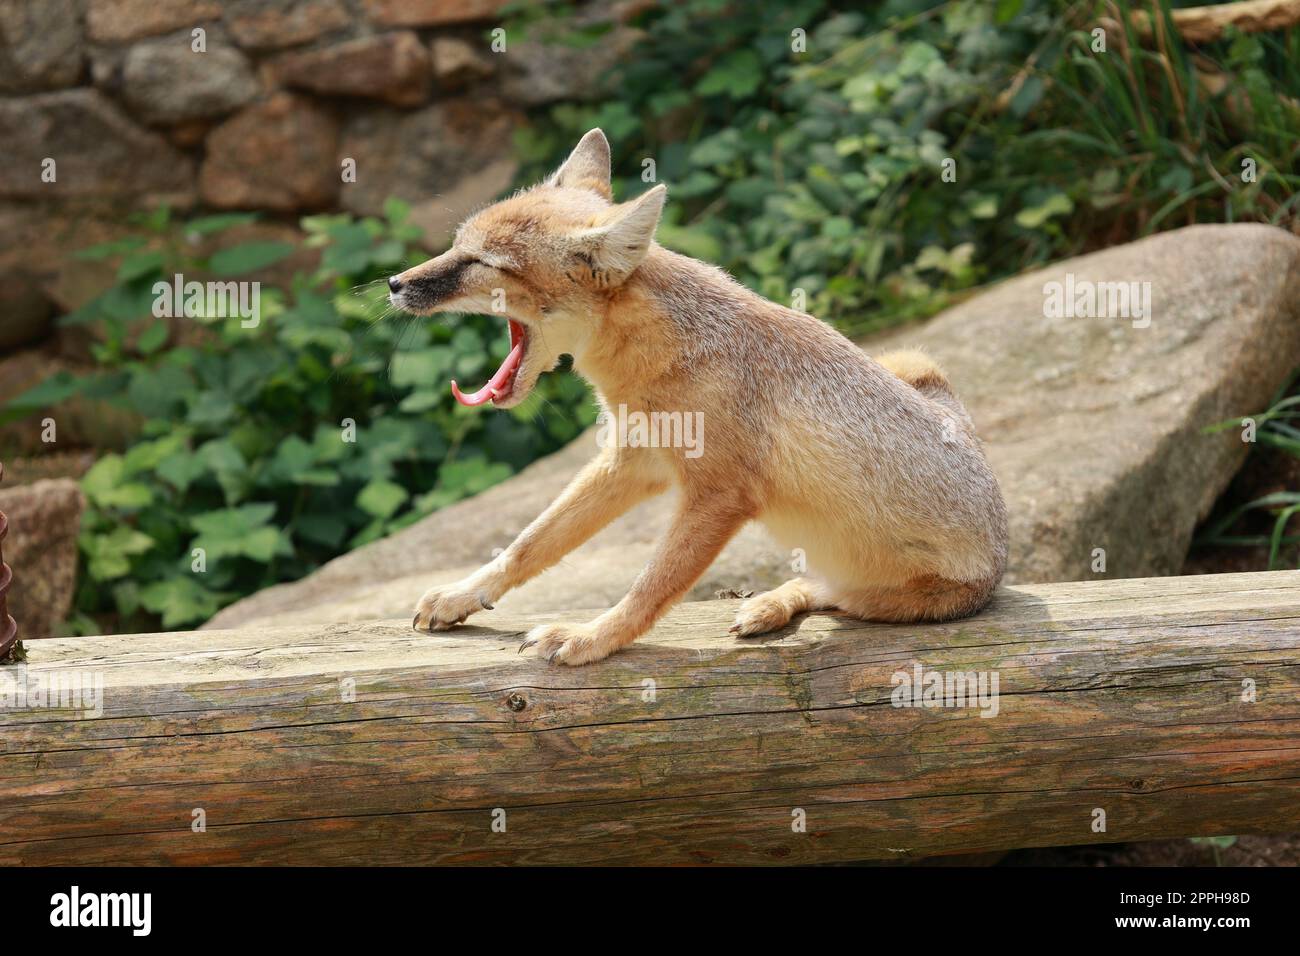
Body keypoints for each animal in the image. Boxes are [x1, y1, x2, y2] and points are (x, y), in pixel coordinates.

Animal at [388, 128, 1008, 666]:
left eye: (482, 264)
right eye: (456, 247)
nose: (395, 284)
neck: (672, 351)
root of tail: (1000, 552)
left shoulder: (718, 495)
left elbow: (650, 587)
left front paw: (590, 638)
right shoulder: (631, 461)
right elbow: (530, 542)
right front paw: (463, 595)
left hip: (885, 593)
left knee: (832, 591)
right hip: (905, 362)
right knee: (815, 582)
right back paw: (768, 605)